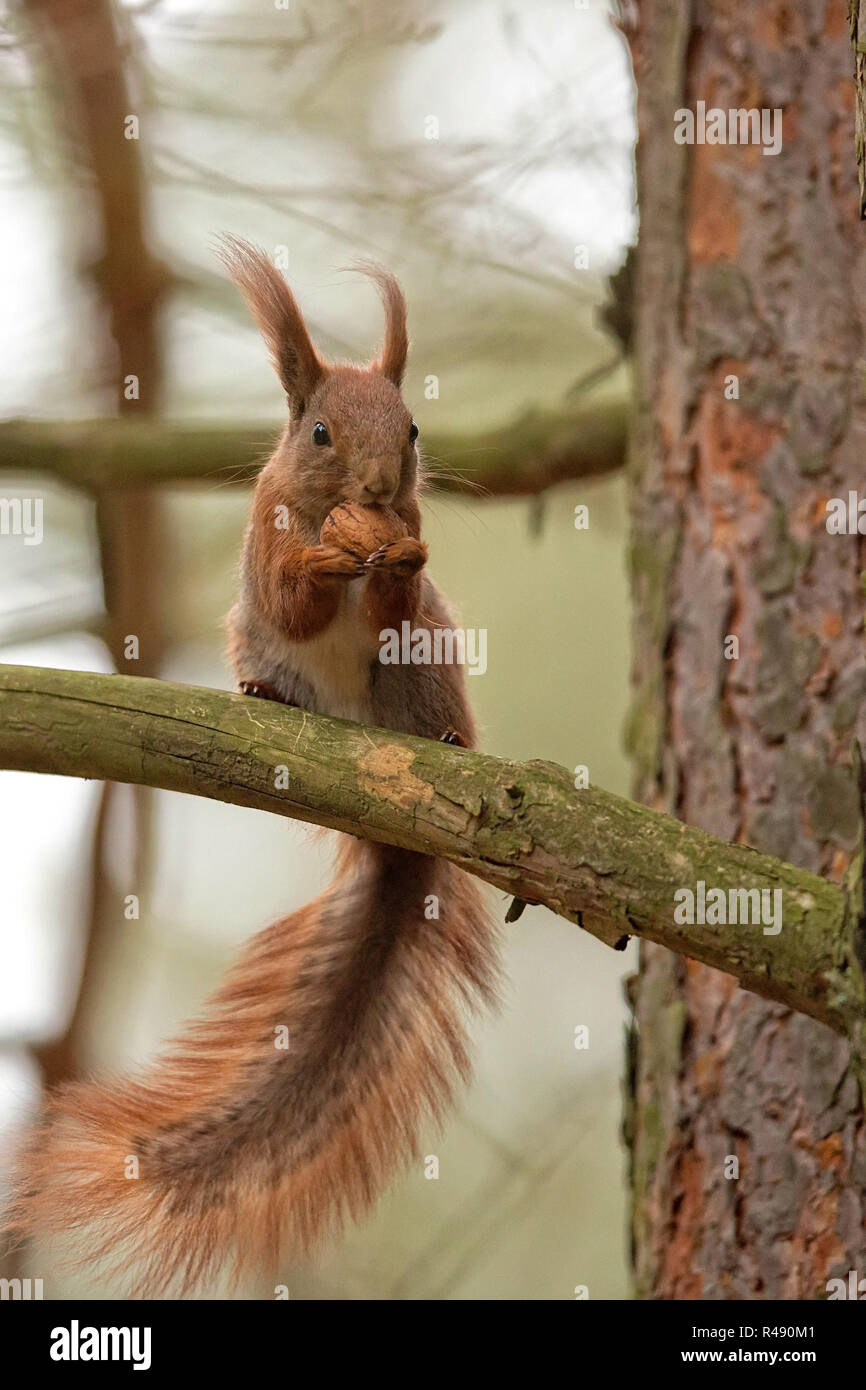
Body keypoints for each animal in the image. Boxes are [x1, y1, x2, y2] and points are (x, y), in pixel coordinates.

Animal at [6, 238, 500, 1295]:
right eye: (318, 431)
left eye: (411, 425)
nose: (378, 489)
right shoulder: (266, 533)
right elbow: (291, 595)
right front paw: (322, 568)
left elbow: (394, 593)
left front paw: (391, 561)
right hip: (264, 653)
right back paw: (271, 696)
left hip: (427, 671)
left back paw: (444, 744)